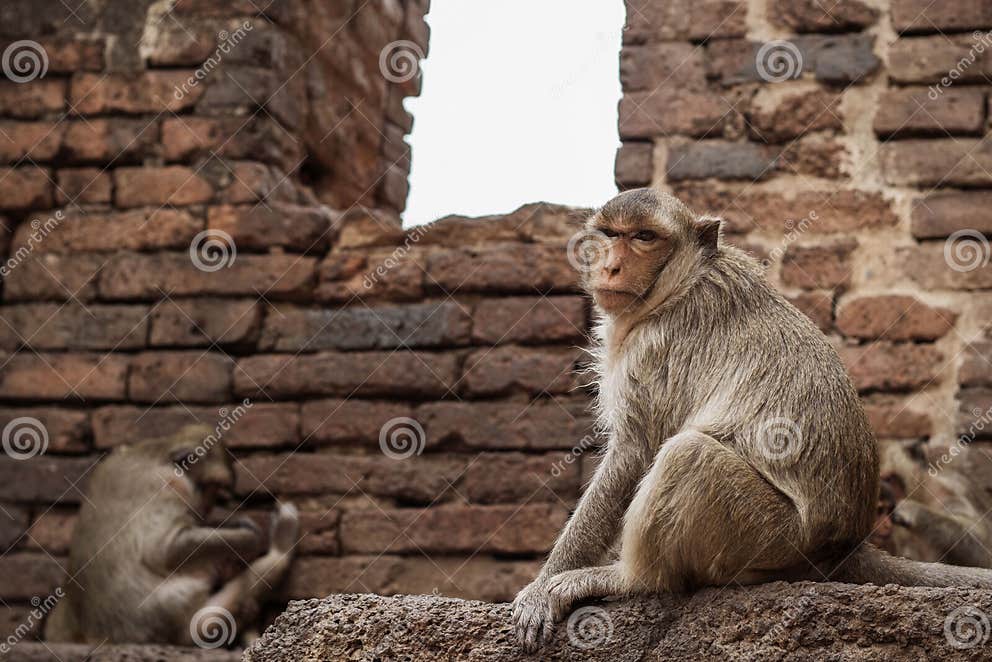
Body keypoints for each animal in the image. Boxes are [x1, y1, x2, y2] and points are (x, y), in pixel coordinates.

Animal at [44, 424, 299, 646]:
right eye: (212, 488)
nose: (208, 505)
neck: (157, 452)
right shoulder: (170, 487)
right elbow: (165, 550)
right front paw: (249, 538)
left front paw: (236, 523)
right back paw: (282, 545)